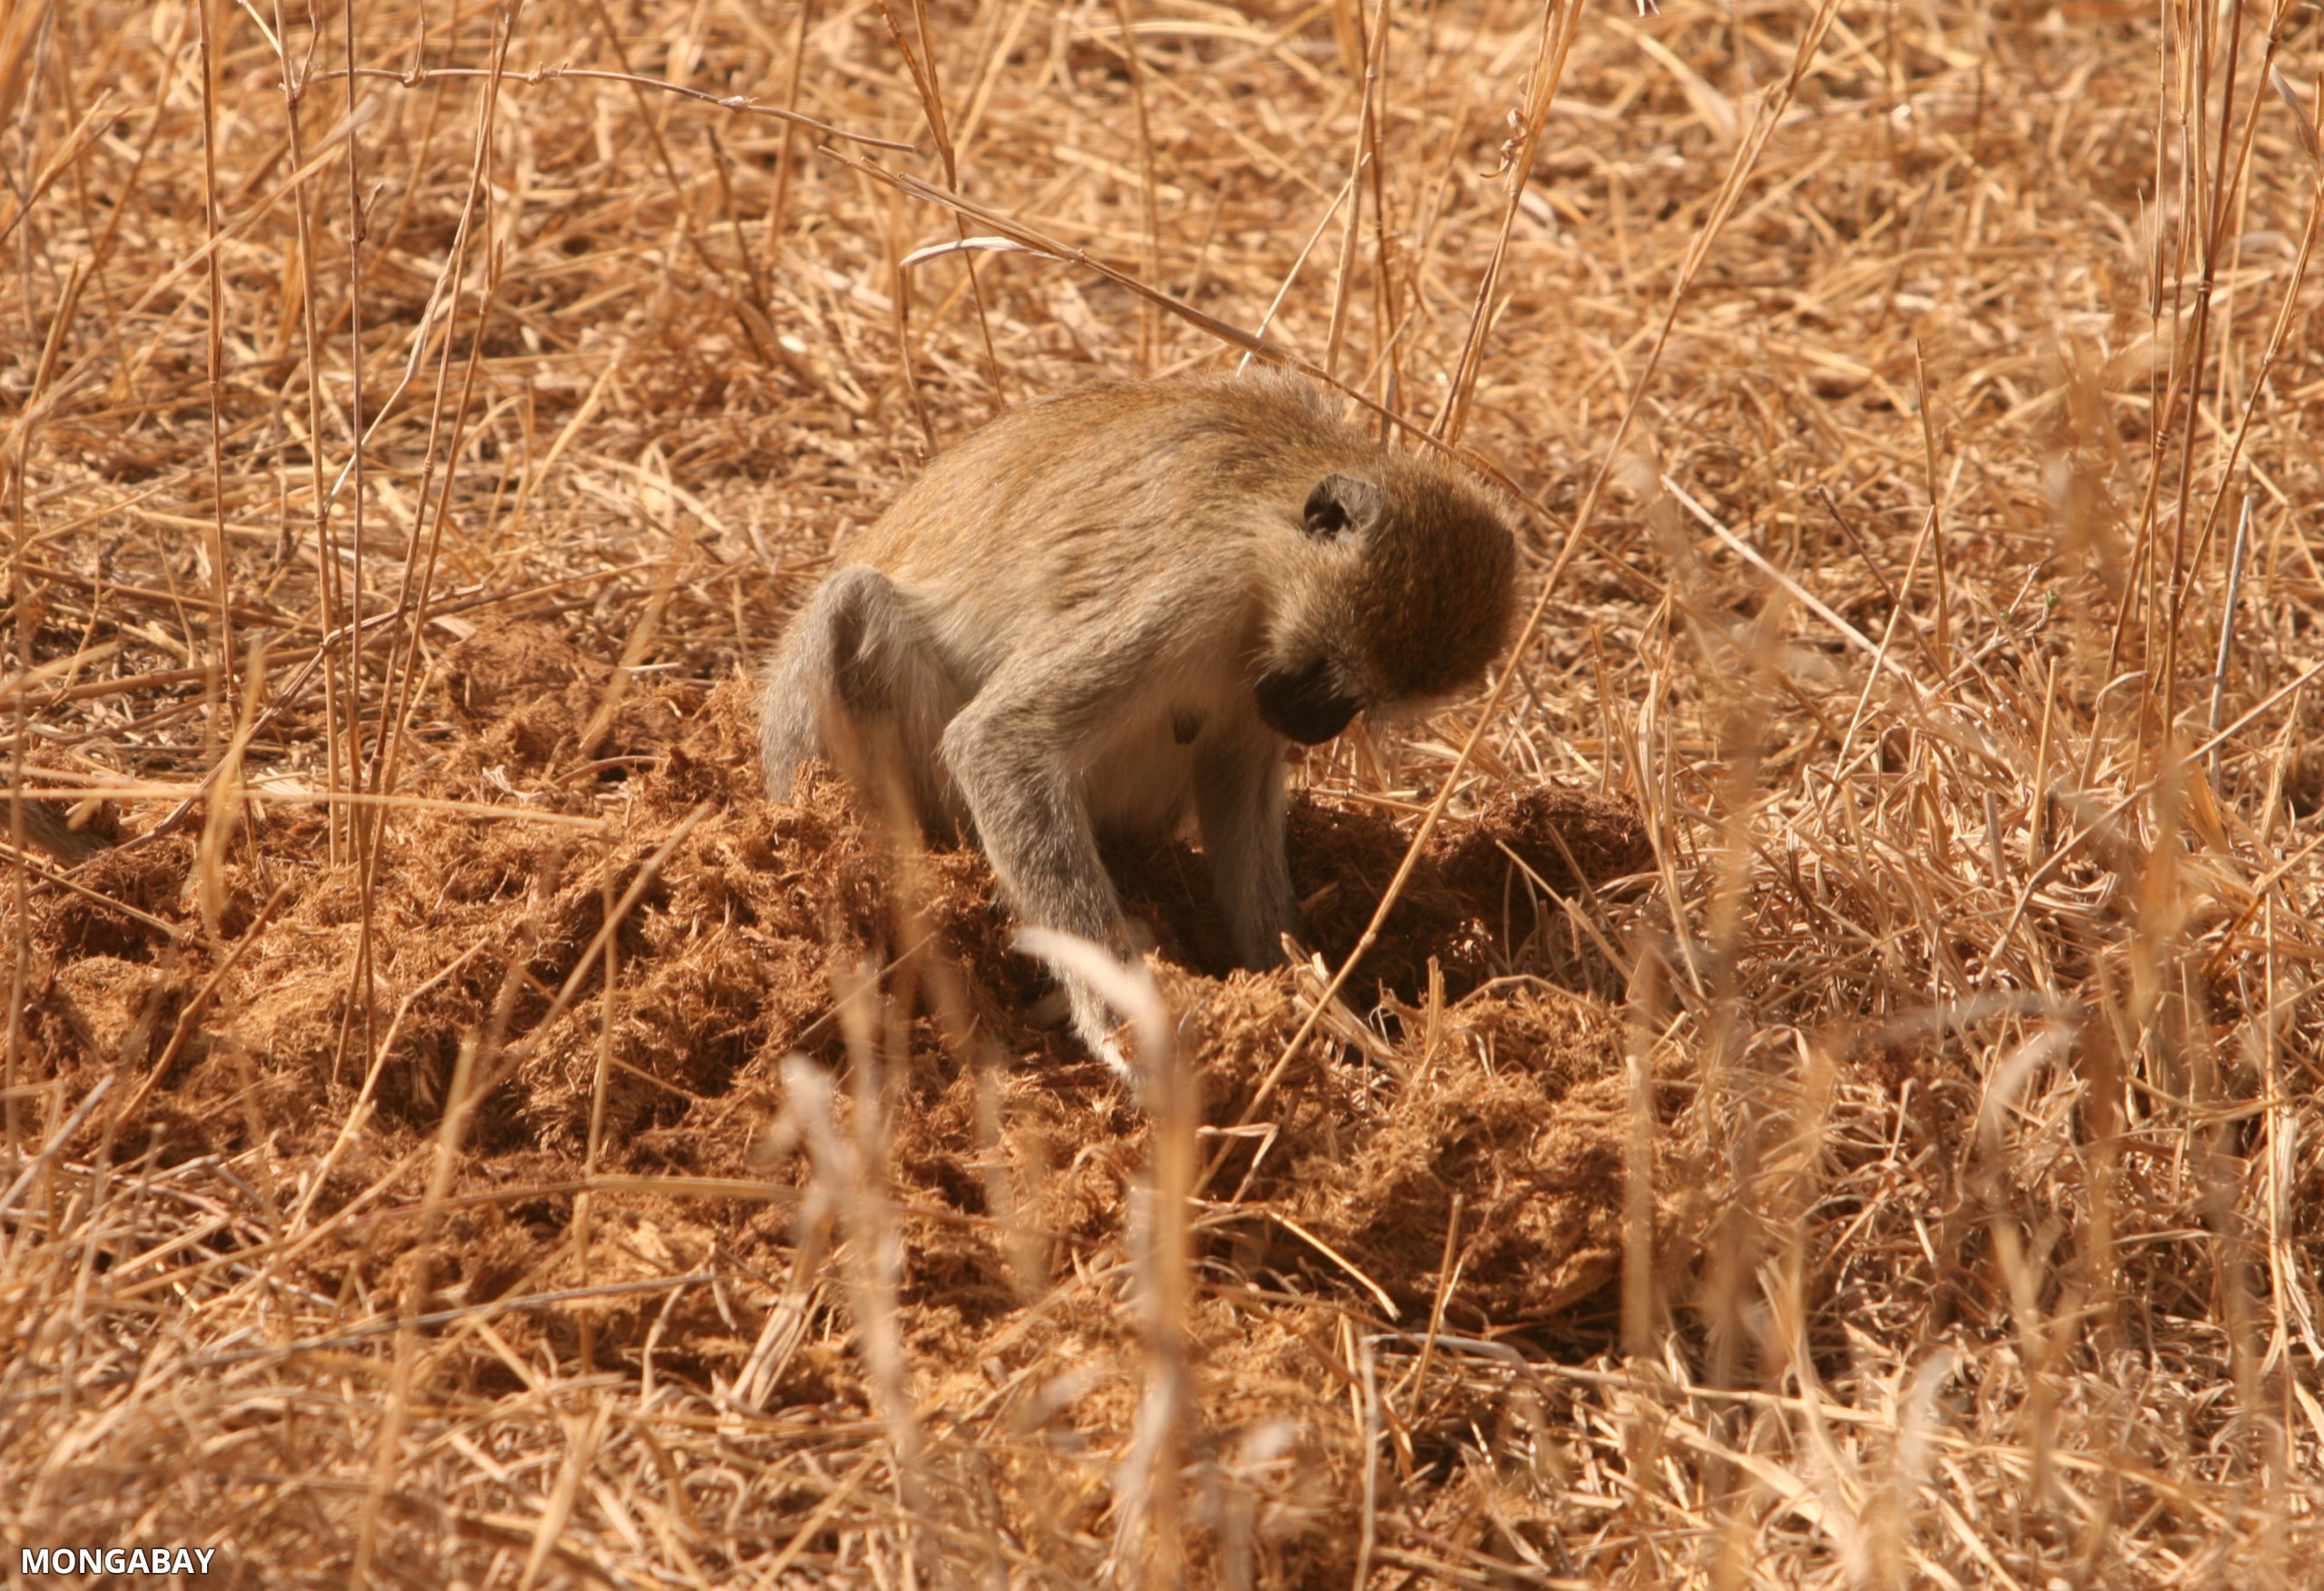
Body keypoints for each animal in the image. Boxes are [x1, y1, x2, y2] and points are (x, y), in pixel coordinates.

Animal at [760, 369, 1517, 1068]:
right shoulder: (1186, 590)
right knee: (854, 602)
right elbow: (999, 742)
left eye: (1363, 702)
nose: (1313, 727)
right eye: (1328, 664)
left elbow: (1234, 784)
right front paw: (1125, 1029)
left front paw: (1303, 996)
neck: (1264, 538)